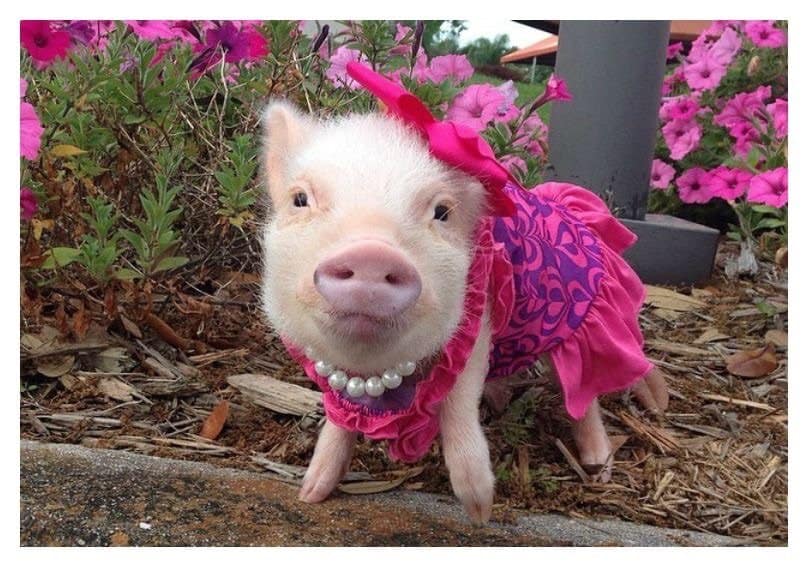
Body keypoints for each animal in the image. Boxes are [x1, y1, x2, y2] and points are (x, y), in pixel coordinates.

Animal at [260, 66, 668, 525]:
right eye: (300, 199)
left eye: (442, 211)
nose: (371, 253)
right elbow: (340, 421)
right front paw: (310, 494)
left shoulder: (479, 318)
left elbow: (458, 399)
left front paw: (479, 509)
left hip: (584, 321)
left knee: (600, 382)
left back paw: (618, 447)